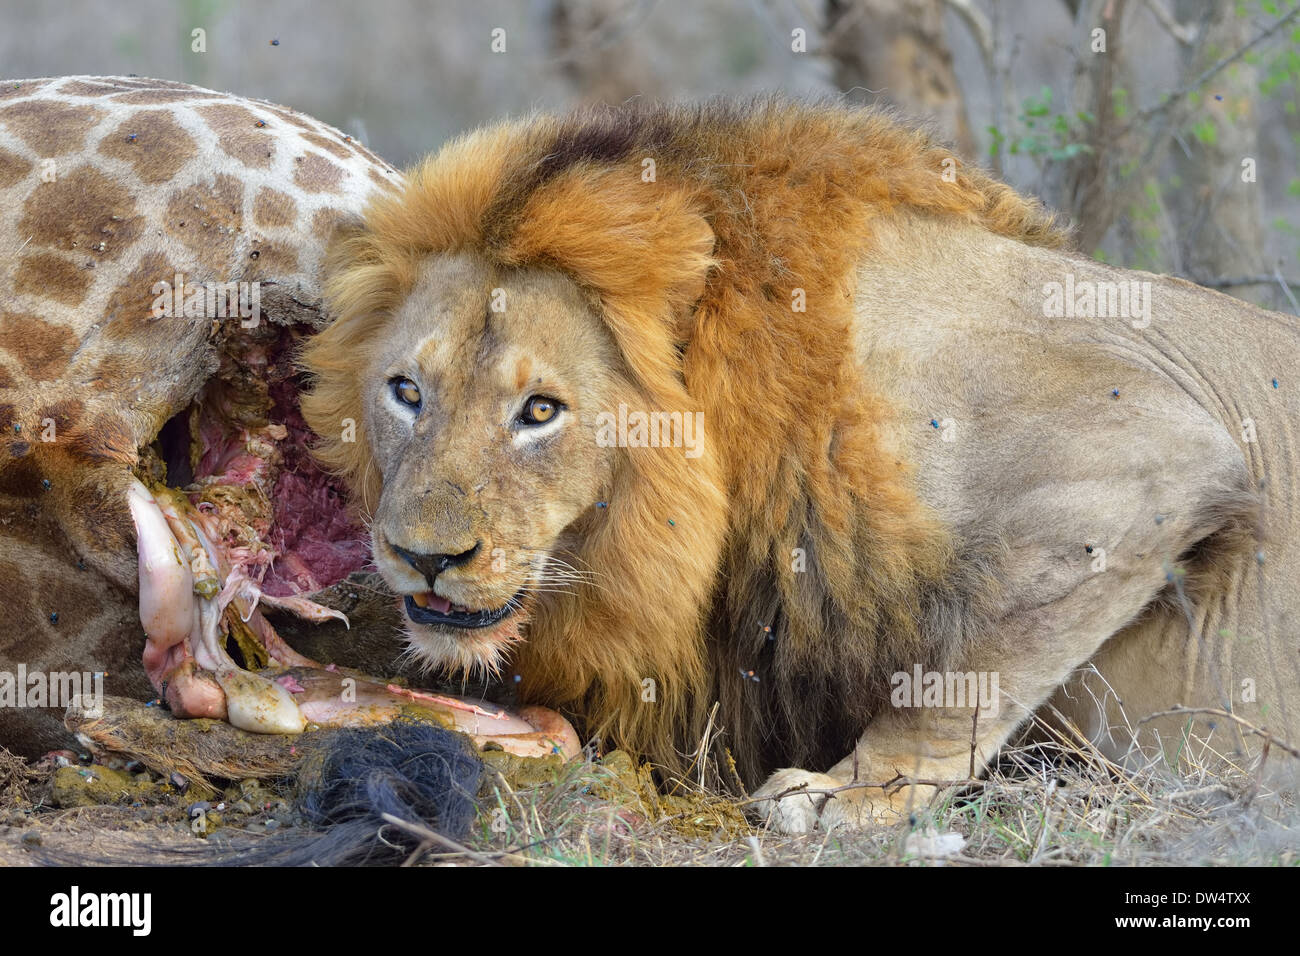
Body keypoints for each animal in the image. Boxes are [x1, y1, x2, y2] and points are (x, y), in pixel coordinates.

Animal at [301, 97, 1300, 833]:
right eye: (406, 392)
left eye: (540, 411)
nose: (424, 558)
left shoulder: (1156, 450)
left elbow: (958, 673)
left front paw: (844, 794)